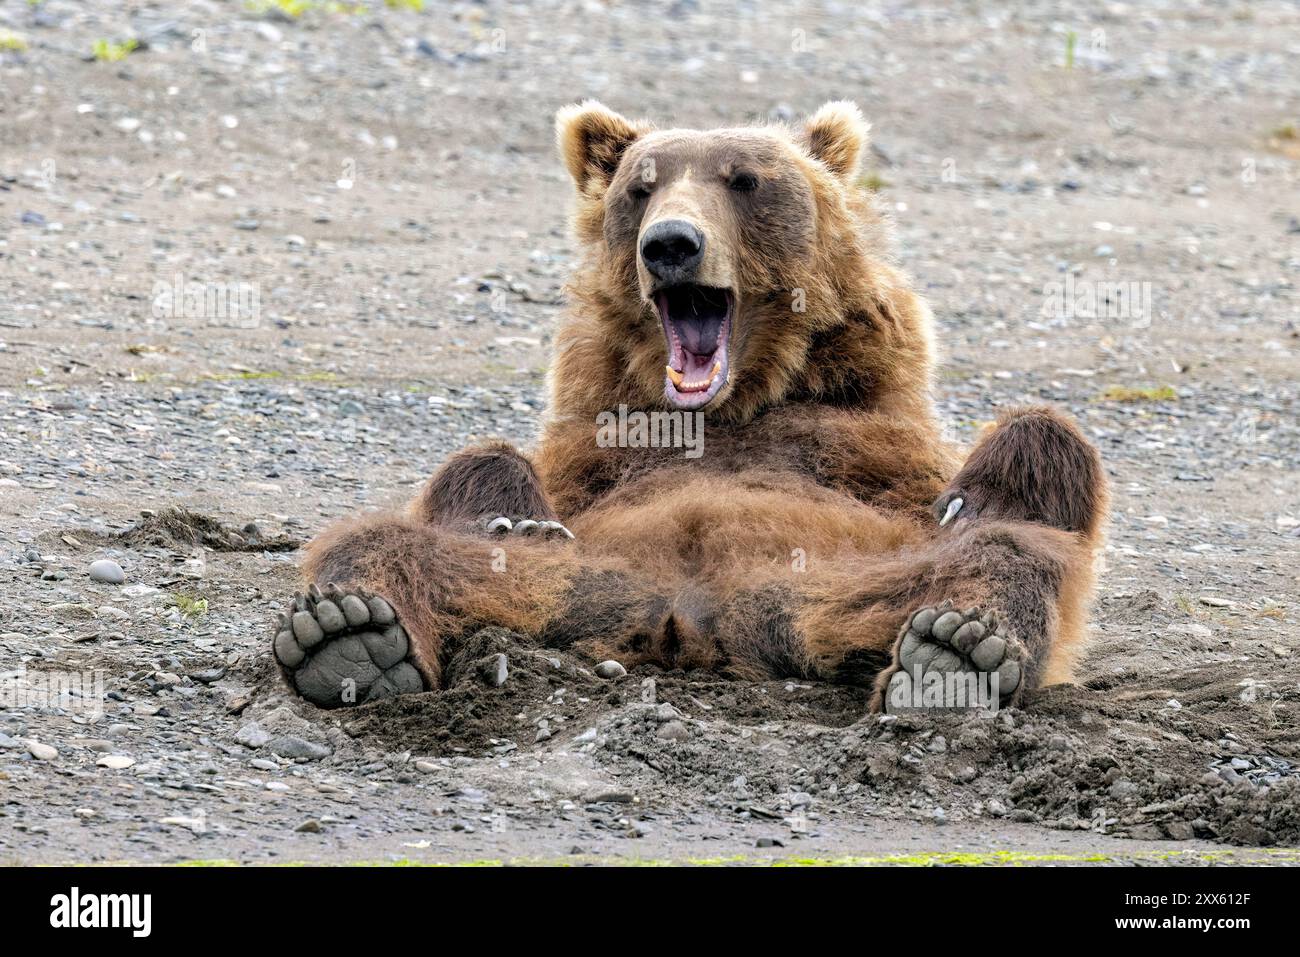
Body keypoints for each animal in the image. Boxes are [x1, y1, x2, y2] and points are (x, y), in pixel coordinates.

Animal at [270, 101, 1108, 714]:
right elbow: (489, 464)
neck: (739, 397)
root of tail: (688, 618)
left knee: (1004, 557)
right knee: (382, 541)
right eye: (641, 187)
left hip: (854, 575)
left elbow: (1025, 454)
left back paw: (957, 650)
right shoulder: (597, 435)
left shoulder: (872, 429)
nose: (670, 242)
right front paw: (512, 512)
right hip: (571, 573)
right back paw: (348, 633)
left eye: (745, 180)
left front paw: (975, 497)